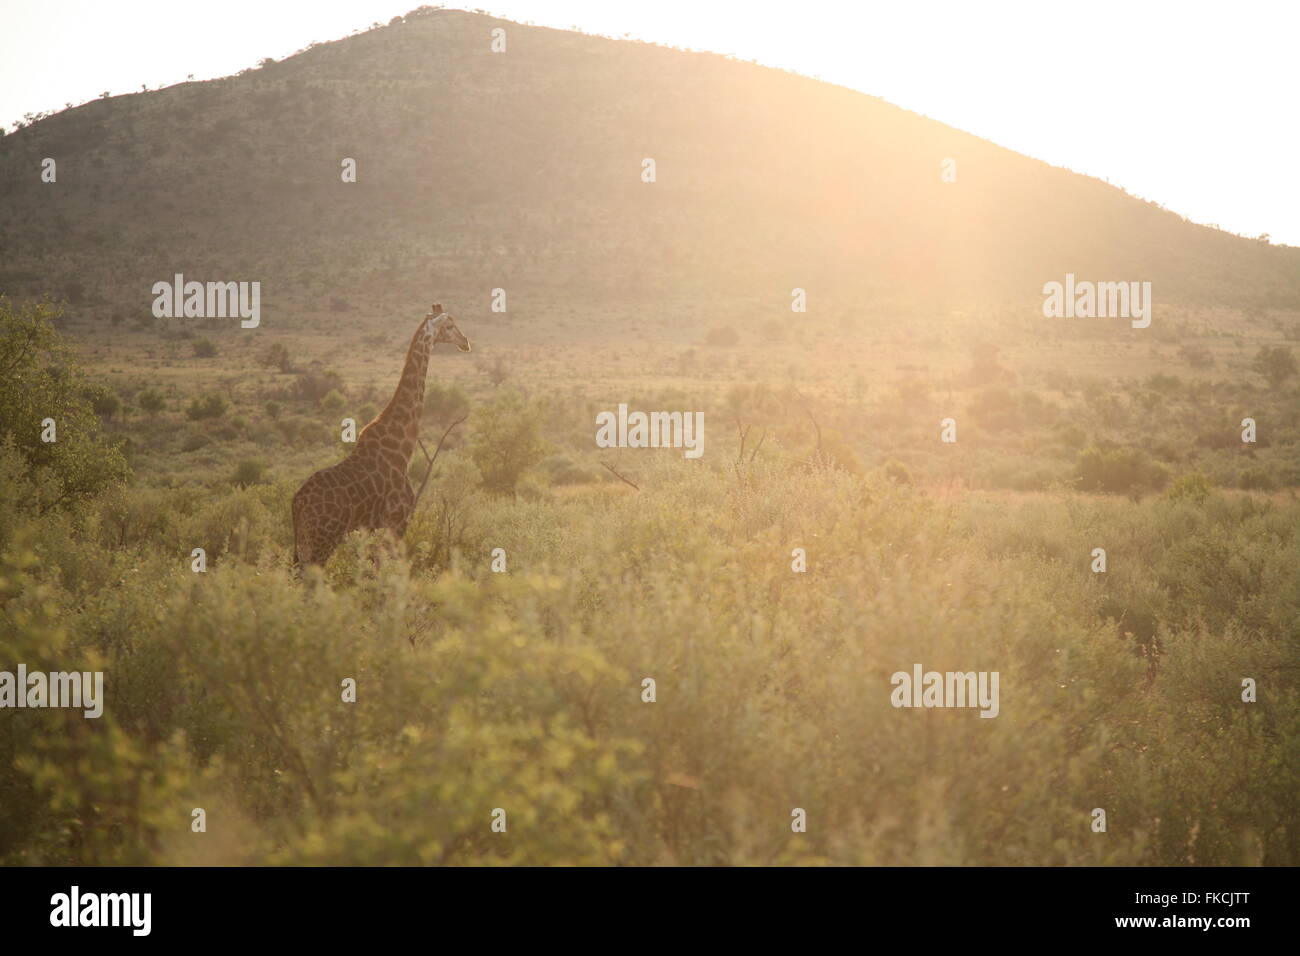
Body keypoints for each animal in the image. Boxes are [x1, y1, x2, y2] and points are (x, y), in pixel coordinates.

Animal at [292, 305, 470, 568]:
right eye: (449, 325)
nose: (465, 342)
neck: (402, 445)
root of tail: (298, 503)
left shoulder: (372, 527)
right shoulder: (397, 521)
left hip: (302, 543)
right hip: (323, 539)